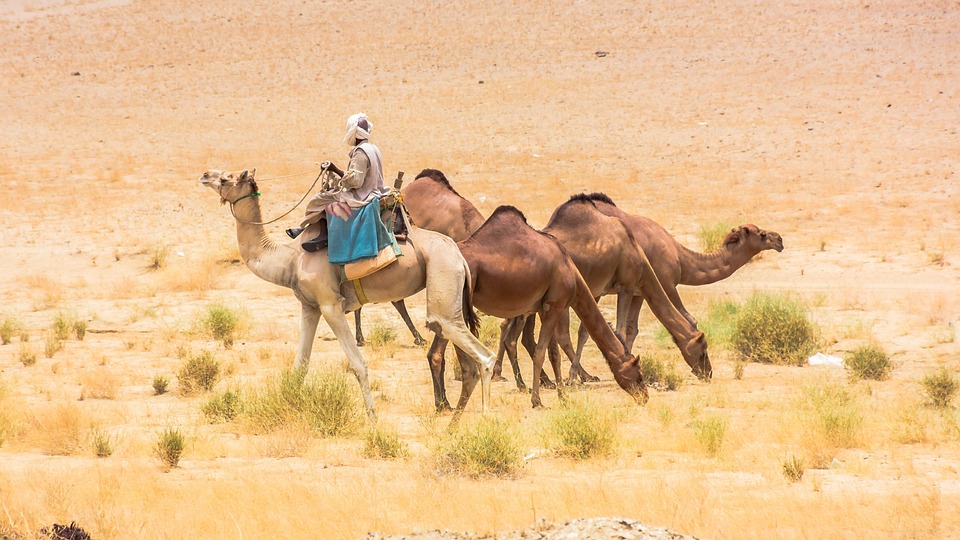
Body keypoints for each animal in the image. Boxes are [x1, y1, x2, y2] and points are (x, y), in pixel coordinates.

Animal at [198, 169, 496, 420]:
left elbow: (357, 364)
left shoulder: (331, 305)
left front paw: (372, 418)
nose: (204, 175)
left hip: (443, 276)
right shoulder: (310, 306)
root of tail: (459, 256)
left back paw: (483, 419)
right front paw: (286, 405)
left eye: (226, 178)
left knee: (484, 357)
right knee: (466, 364)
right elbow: (300, 365)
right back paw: (453, 422)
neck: (289, 259)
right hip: (451, 294)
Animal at [426, 205, 649, 410]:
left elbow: (553, 354)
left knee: (434, 352)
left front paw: (562, 396)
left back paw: (442, 403)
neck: (572, 273)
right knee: (438, 353)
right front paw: (539, 400)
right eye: (639, 374)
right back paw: (444, 405)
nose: (645, 396)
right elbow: (542, 352)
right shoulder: (556, 305)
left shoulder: (544, 307)